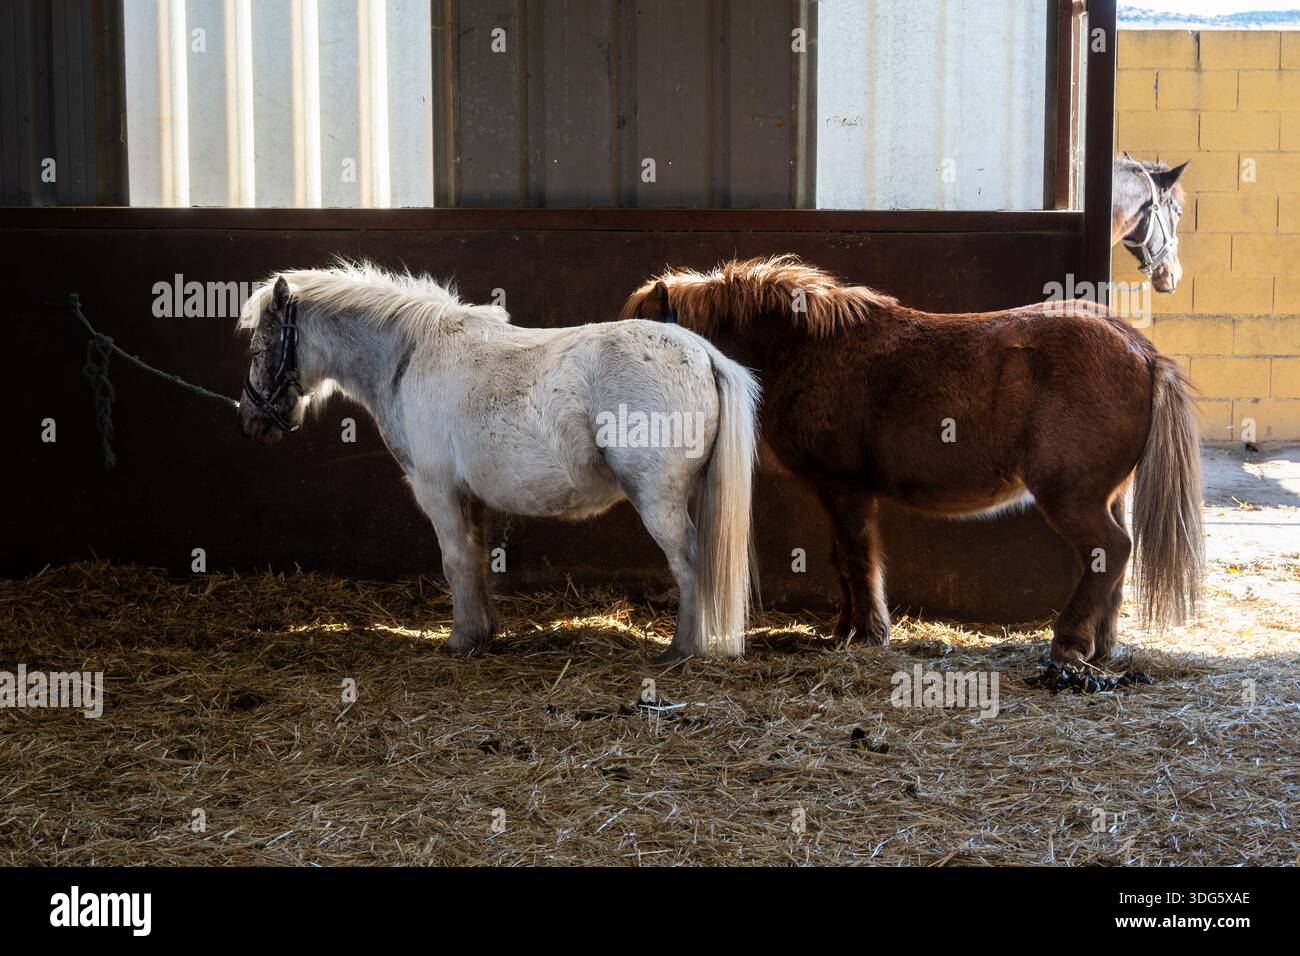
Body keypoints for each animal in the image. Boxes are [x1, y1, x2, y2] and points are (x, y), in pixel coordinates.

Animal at [237, 261, 759, 660]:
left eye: (261, 347)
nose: (251, 419)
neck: (411, 355)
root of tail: (703, 353)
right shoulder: (470, 497)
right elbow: (475, 559)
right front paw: (483, 632)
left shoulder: (437, 490)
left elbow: (454, 561)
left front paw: (460, 638)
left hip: (657, 498)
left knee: (689, 563)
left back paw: (682, 649)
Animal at [620, 255, 1204, 666]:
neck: (803, 350)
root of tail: (1141, 352)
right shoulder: (840, 493)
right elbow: (843, 558)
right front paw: (847, 629)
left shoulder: (844, 488)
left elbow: (856, 559)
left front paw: (866, 633)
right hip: (1107, 496)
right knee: (1111, 564)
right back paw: (1100, 646)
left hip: (1071, 497)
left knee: (1110, 550)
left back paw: (1068, 643)